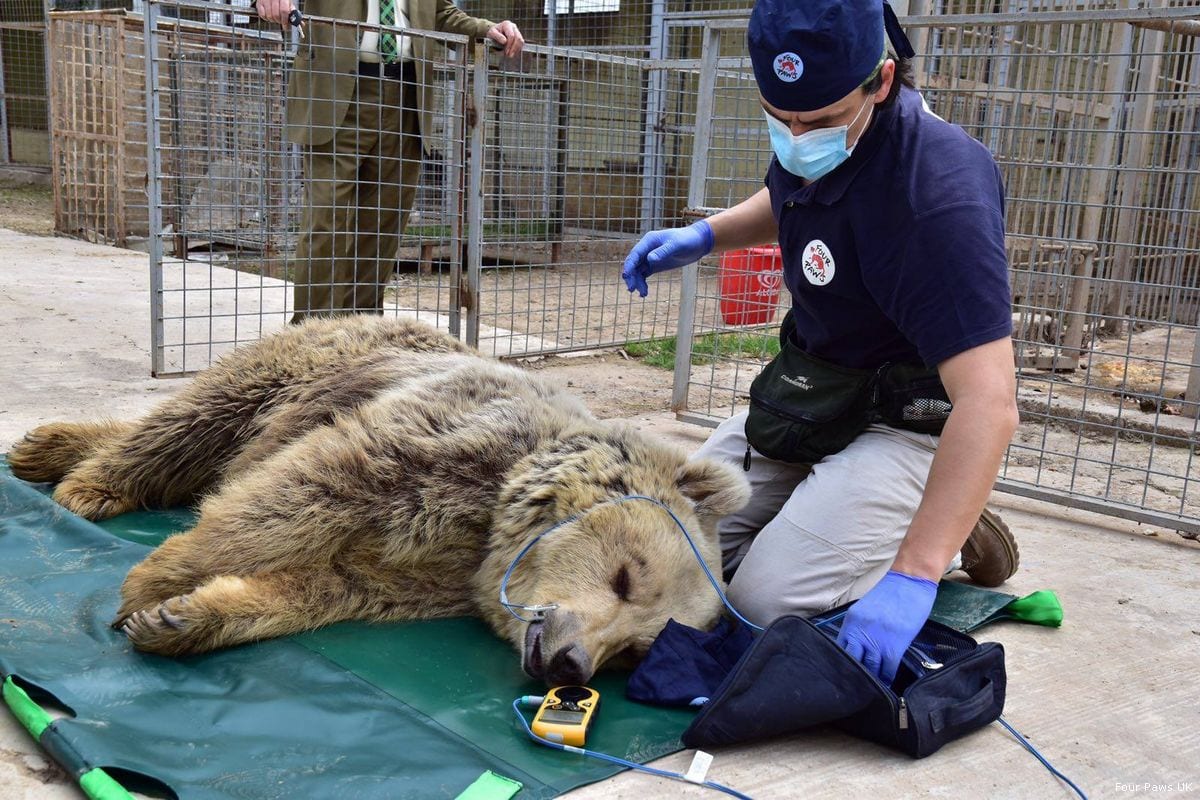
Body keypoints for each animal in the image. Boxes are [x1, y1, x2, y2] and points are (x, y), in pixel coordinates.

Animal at [9, 316, 751, 686]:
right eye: (626, 577)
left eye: (634, 652)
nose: (571, 665)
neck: (489, 531)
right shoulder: (430, 448)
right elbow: (297, 493)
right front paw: (152, 582)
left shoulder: (434, 577)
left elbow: (330, 585)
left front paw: (179, 617)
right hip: (303, 371)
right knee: (190, 421)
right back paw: (80, 478)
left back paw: (46, 446)